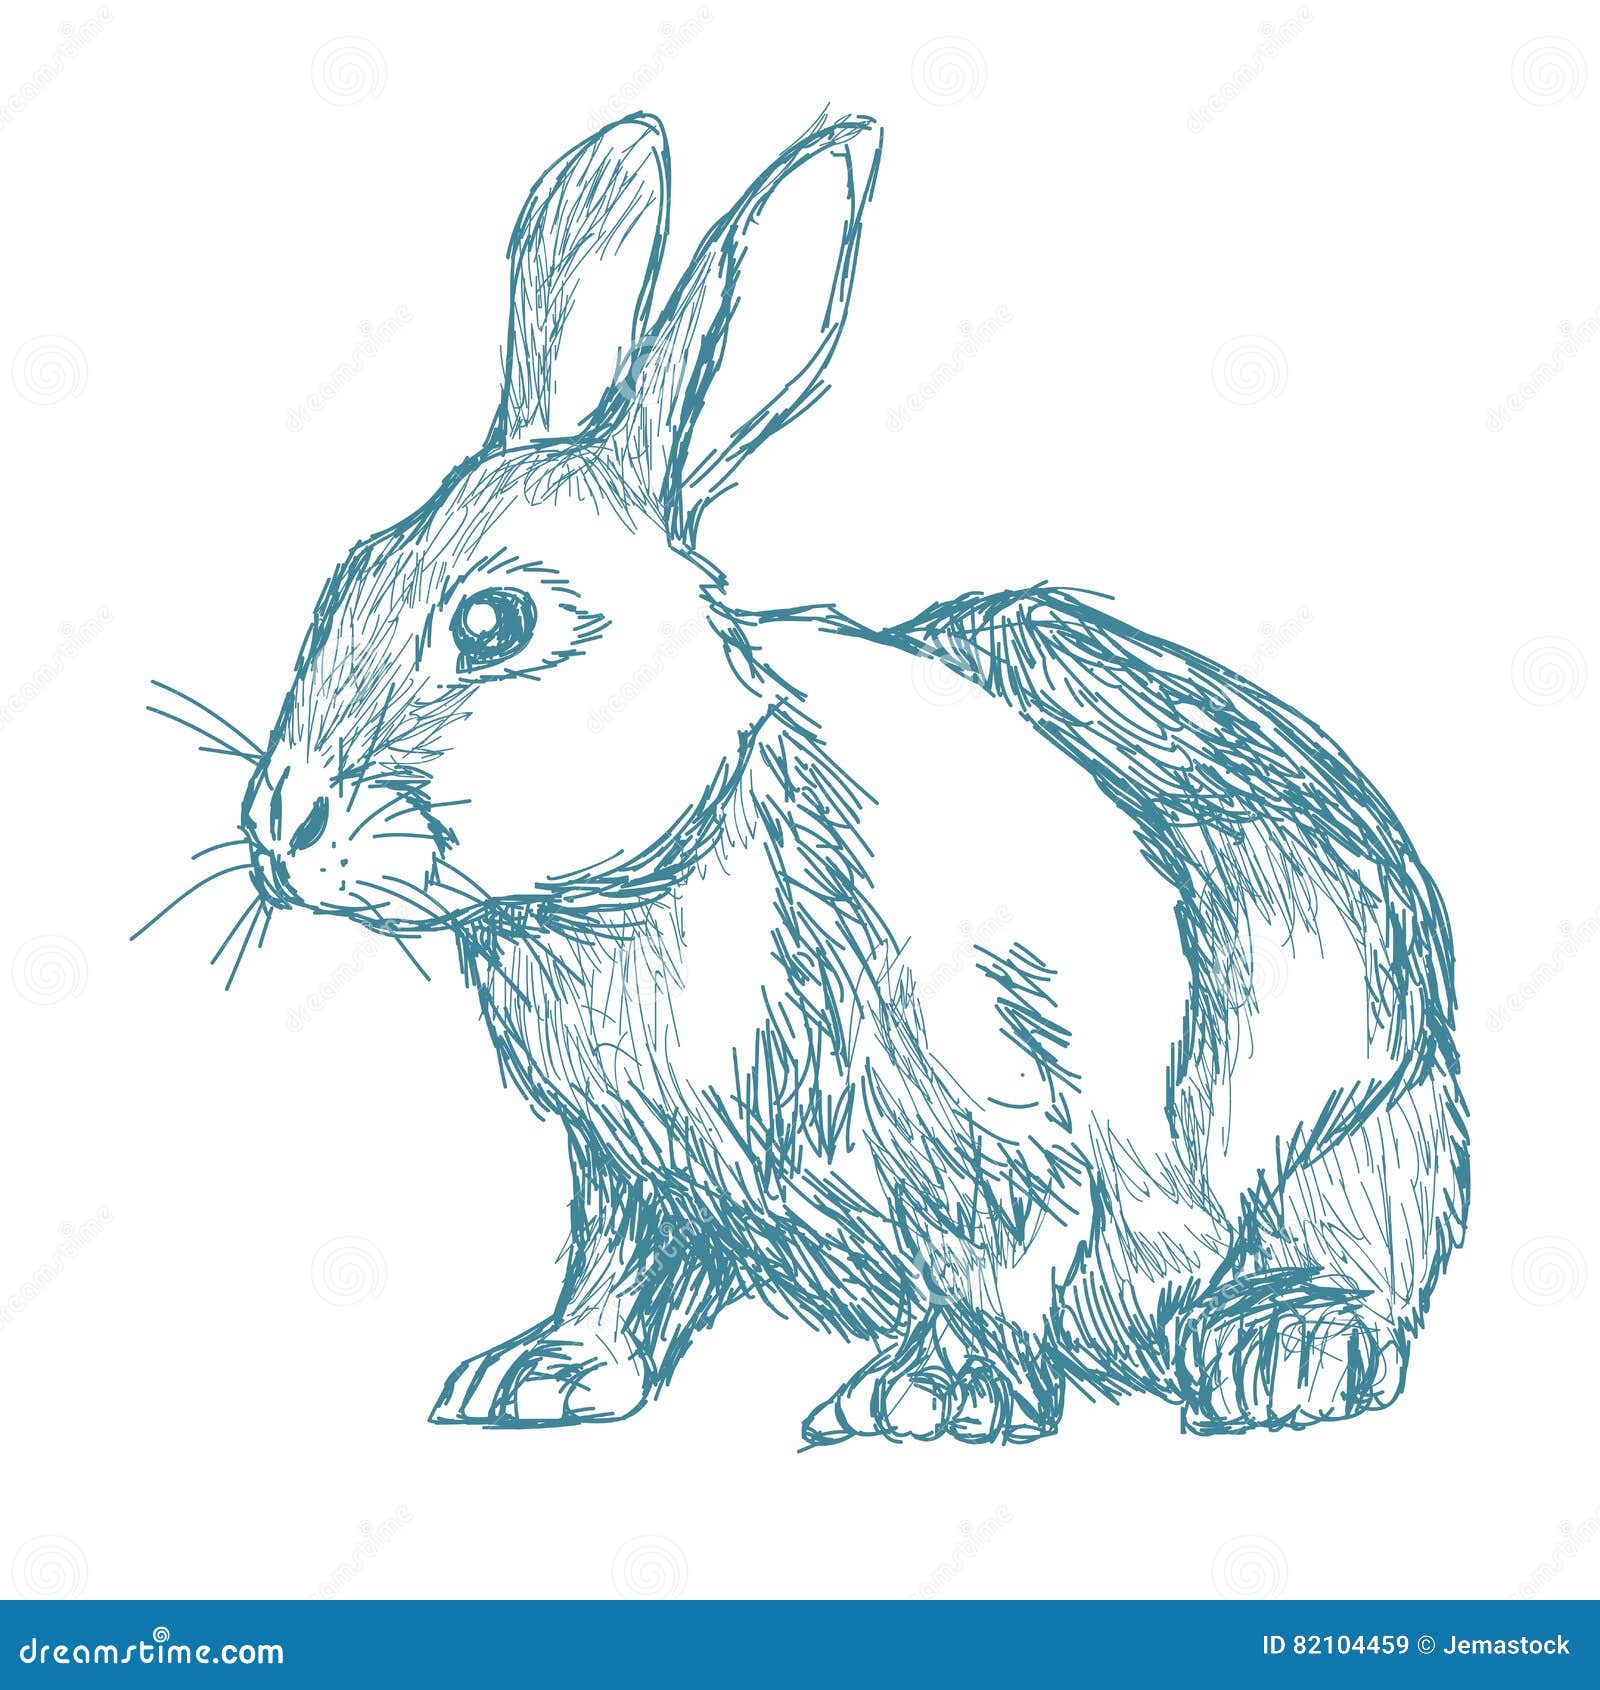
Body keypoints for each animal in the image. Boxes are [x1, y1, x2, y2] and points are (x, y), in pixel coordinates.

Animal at [191, 112, 1467, 1443]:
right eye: (344, 576)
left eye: (493, 622)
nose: (283, 824)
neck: (657, 873)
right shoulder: (634, 1171)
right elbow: (614, 1273)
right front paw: (537, 1376)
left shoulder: (1004, 1100)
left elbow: (998, 1251)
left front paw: (932, 1397)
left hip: (1354, 1103)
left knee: (1352, 1245)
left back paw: (1281, 1348)